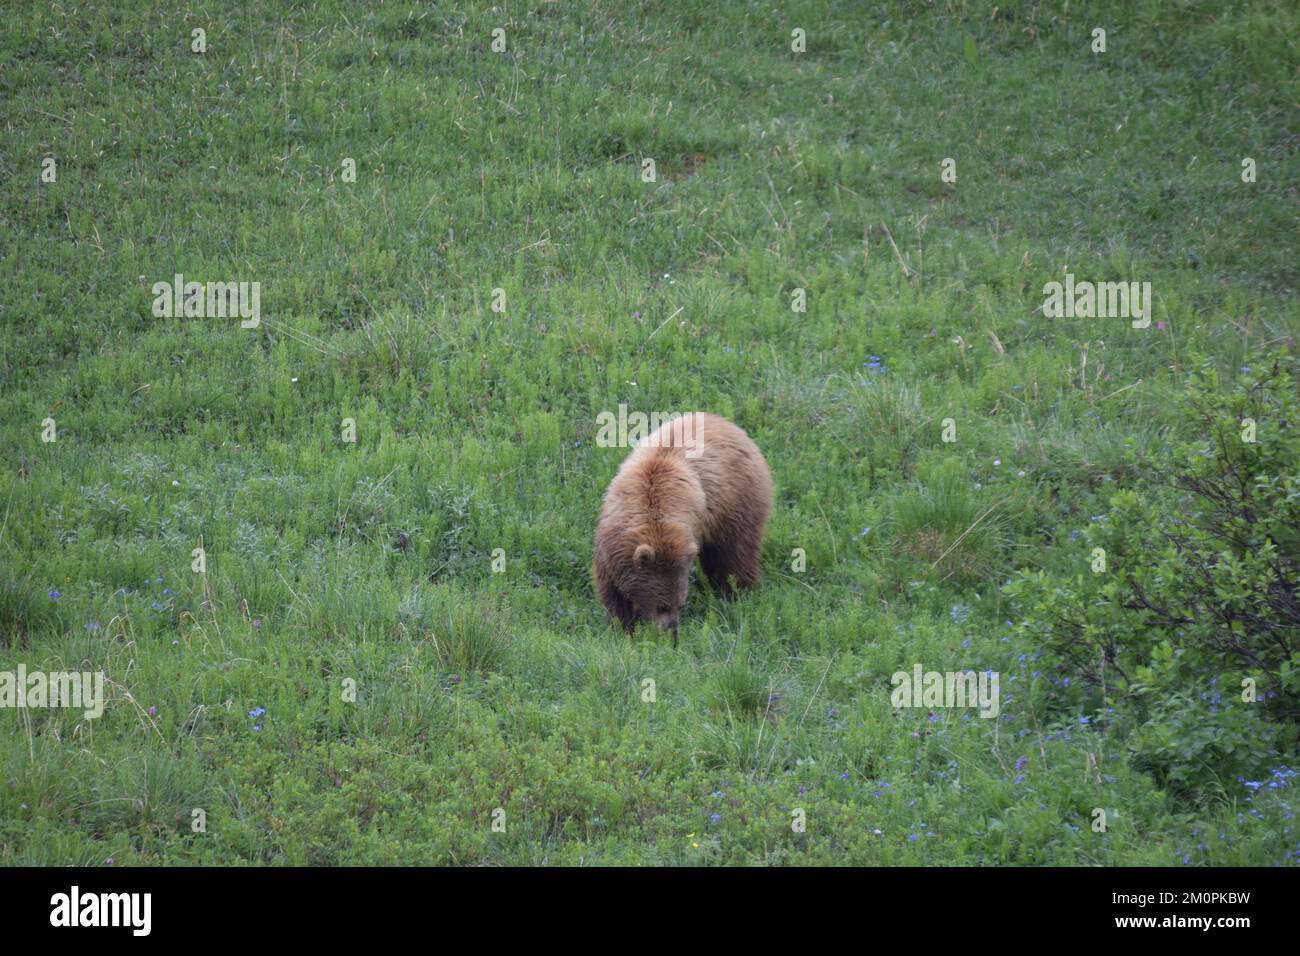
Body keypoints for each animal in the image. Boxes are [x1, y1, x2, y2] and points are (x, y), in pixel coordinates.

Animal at [593, 412, 773, 643]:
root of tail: (732, 427)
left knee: (736, 553)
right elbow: (612, 592)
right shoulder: (610, 546)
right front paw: (623, 628)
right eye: (662, 606)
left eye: (679, 604)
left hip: (736, 503)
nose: (672, 633)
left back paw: (736, 594)